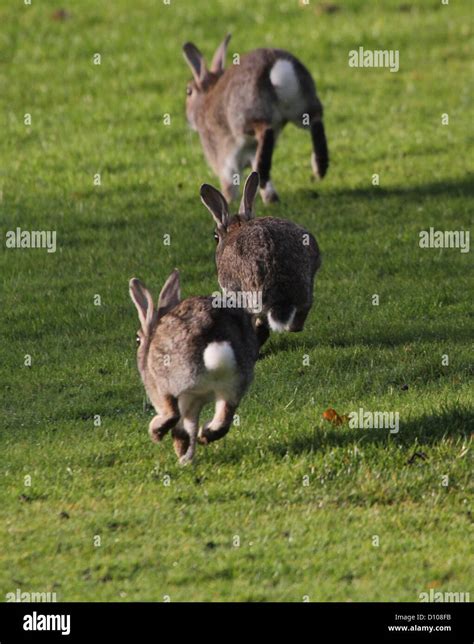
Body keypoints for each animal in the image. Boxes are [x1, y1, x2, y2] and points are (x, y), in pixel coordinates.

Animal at [129, 270, 259, 464]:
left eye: (138, 339)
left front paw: (181, 456)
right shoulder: (193, 401)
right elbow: (186, 430)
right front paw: (185, 458)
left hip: (166, 380)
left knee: (172, 414)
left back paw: (156, 432)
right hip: (234, 383)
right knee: (223, 418)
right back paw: (204, 435)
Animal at [183, 34, 329, 204]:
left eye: (189, 91)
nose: (188, 119)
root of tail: (273, 65)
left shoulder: (222, 155)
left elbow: (229, 178)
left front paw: (228, 199)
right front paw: (271, 198)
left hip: (246, 117)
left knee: (265, 130)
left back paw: (265, 176)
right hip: (301, 107)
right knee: (316, 121)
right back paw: (319, 167)